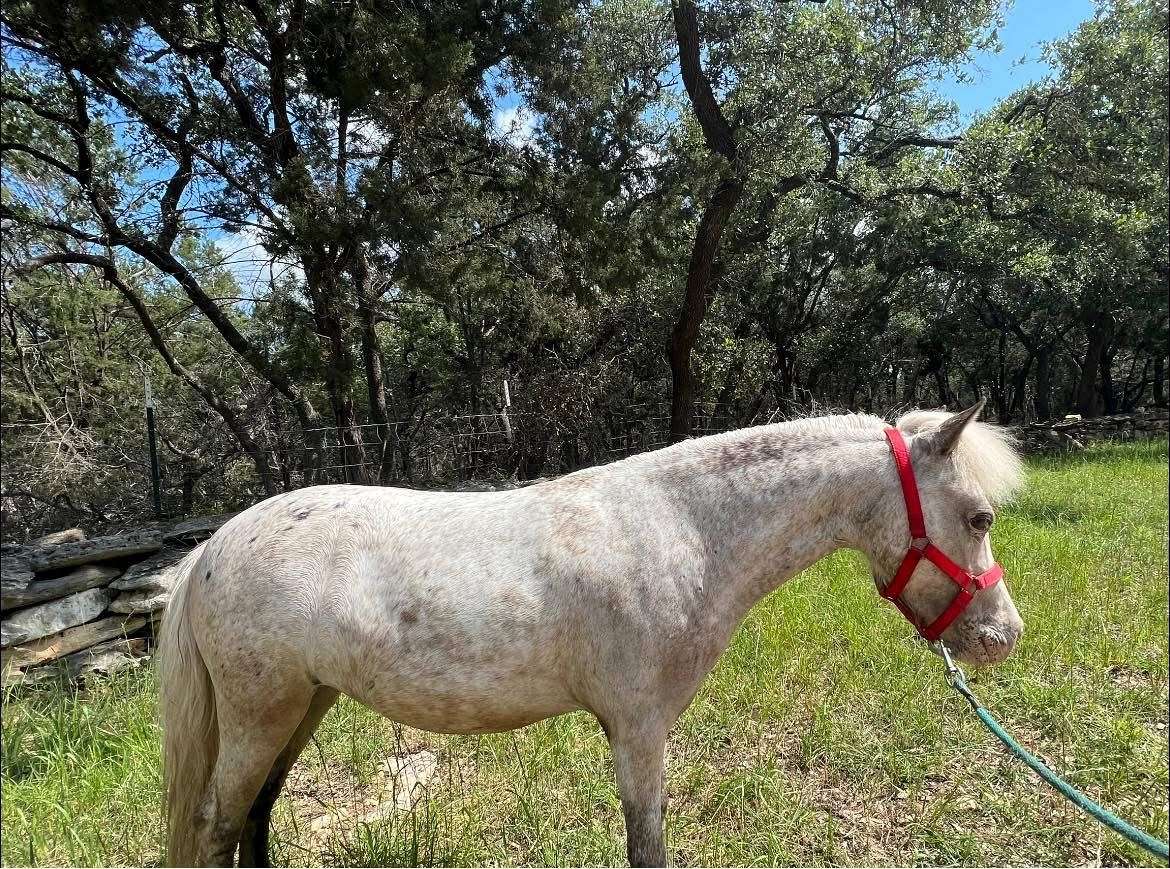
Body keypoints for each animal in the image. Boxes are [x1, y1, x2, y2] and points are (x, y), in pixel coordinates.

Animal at [158, 401, 1026, 867]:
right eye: (980, 517)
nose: (1002, 636)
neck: (683, 528)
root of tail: (212, 548)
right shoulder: (639, 730)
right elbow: (647, 845)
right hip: (260, 713)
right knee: (217, 826)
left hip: (304, 705)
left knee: (255, 819)